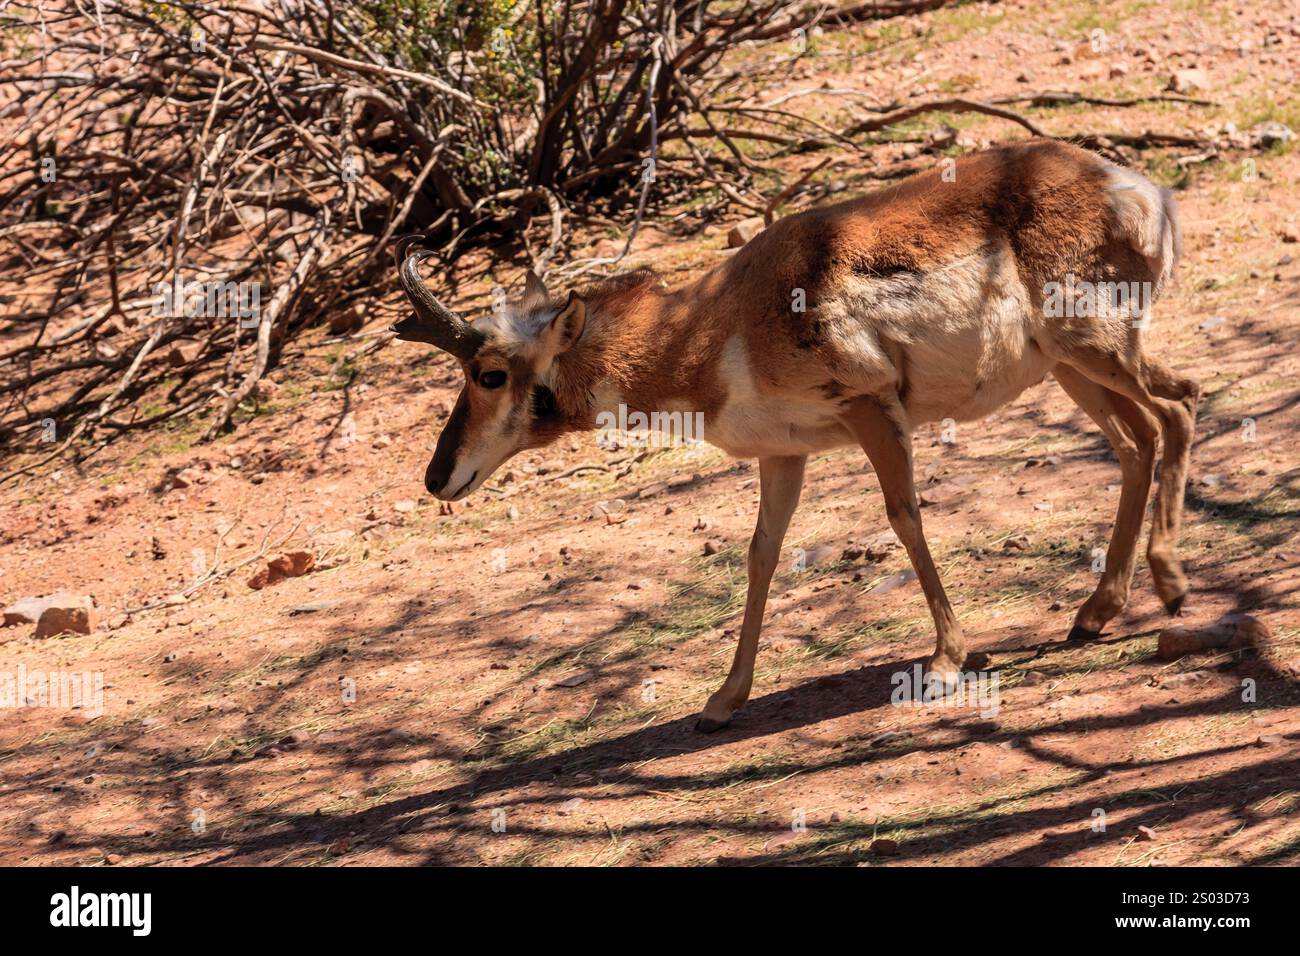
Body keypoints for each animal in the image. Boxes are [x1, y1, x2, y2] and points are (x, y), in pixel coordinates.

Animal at [391, 138, 1197, 733]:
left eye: (490, 372)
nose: (435, 477)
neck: (722, 321)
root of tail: (1133, 186)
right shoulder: (784, 454)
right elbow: (760, 555)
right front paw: (722, 701)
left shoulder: (872, 411)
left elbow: (903, 517)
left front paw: (944, 661)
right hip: (1070, 369)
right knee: (1139, 439)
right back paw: (1096, 613)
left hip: (1093, 348)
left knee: (1179, 407)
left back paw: (1170, 585)